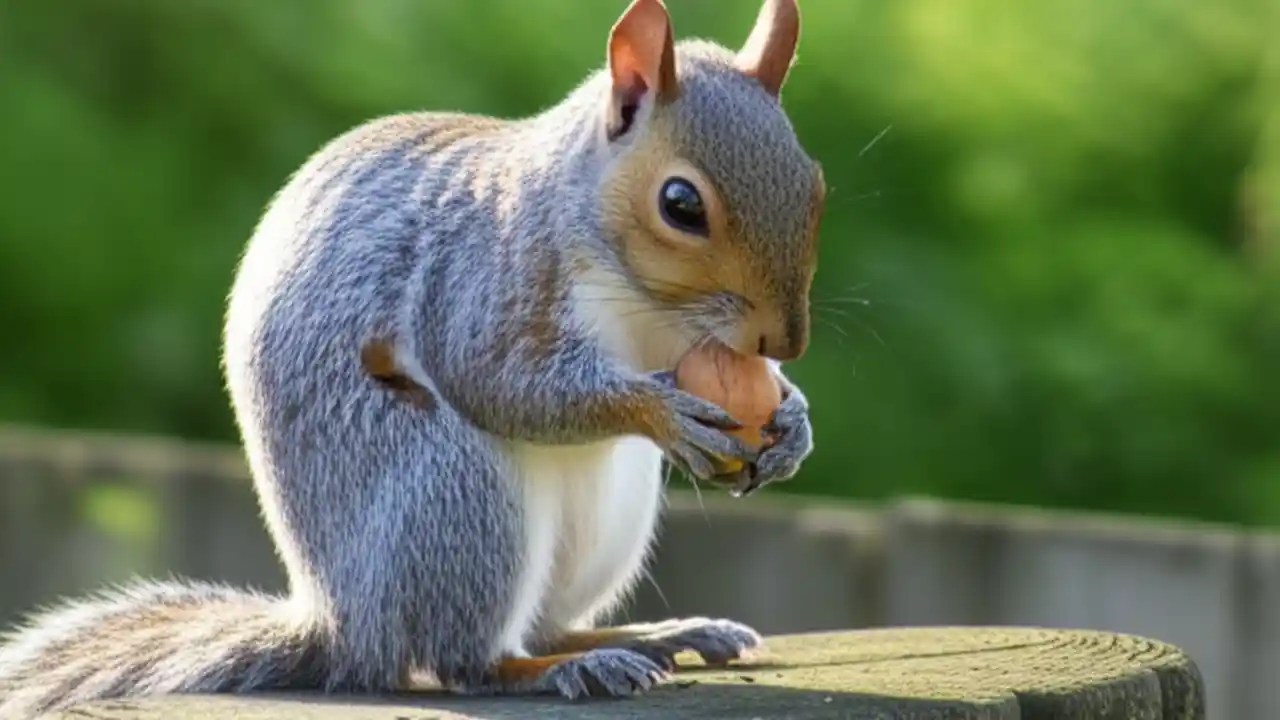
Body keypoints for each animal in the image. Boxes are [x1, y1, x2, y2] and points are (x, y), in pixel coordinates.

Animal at [0, 0, 824, 715]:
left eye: (815, 185)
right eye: (681, 205)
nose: (784, 341)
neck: (643, 301)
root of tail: (346, 625)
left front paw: (792, 417)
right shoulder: (483, 277)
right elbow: (505, 383)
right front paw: (662, 410)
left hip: (605, 521)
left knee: (546, 624)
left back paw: (655, 635)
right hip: (456, 498)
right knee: (466, 659)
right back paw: (560, 668)